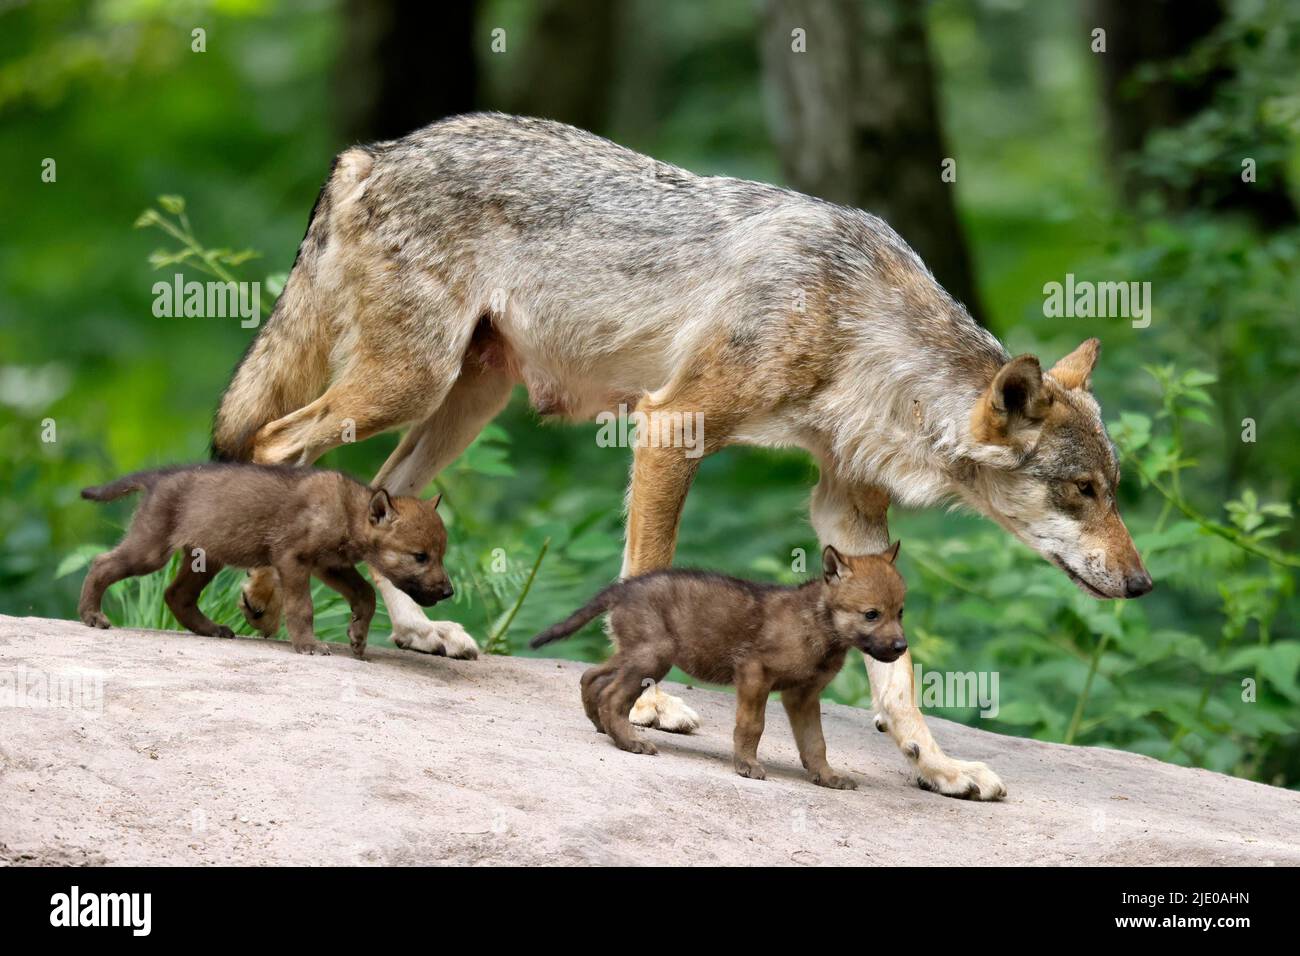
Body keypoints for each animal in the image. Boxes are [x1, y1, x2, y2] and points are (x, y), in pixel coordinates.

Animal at [78, 464, 453, 657]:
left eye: (441, 555)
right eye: (420, 556)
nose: (449, 592)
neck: (348, 511)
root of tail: (158, 476)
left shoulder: (331, 566)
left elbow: (367, 594)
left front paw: (358, 636)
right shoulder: (293, 560)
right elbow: (301, 608)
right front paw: (308, 645)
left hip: (206, 557)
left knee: (176, 594)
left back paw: (211, 629)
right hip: (151, 551)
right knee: (101, 563)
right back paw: (92, 616)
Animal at [531, 544, 909, 789]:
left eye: (900, 612)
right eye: (871, 614)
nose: (902, 647)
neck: (819, 626)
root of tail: (623, 589)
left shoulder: (802, 696)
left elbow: (815, 742)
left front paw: (827, 777)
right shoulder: (754, 674)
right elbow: (751, 726)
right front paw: (747, 765)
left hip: (635, 654)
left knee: (591, 676)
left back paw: (602, 726)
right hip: (653, 656)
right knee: (611, 696)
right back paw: (629, 741)